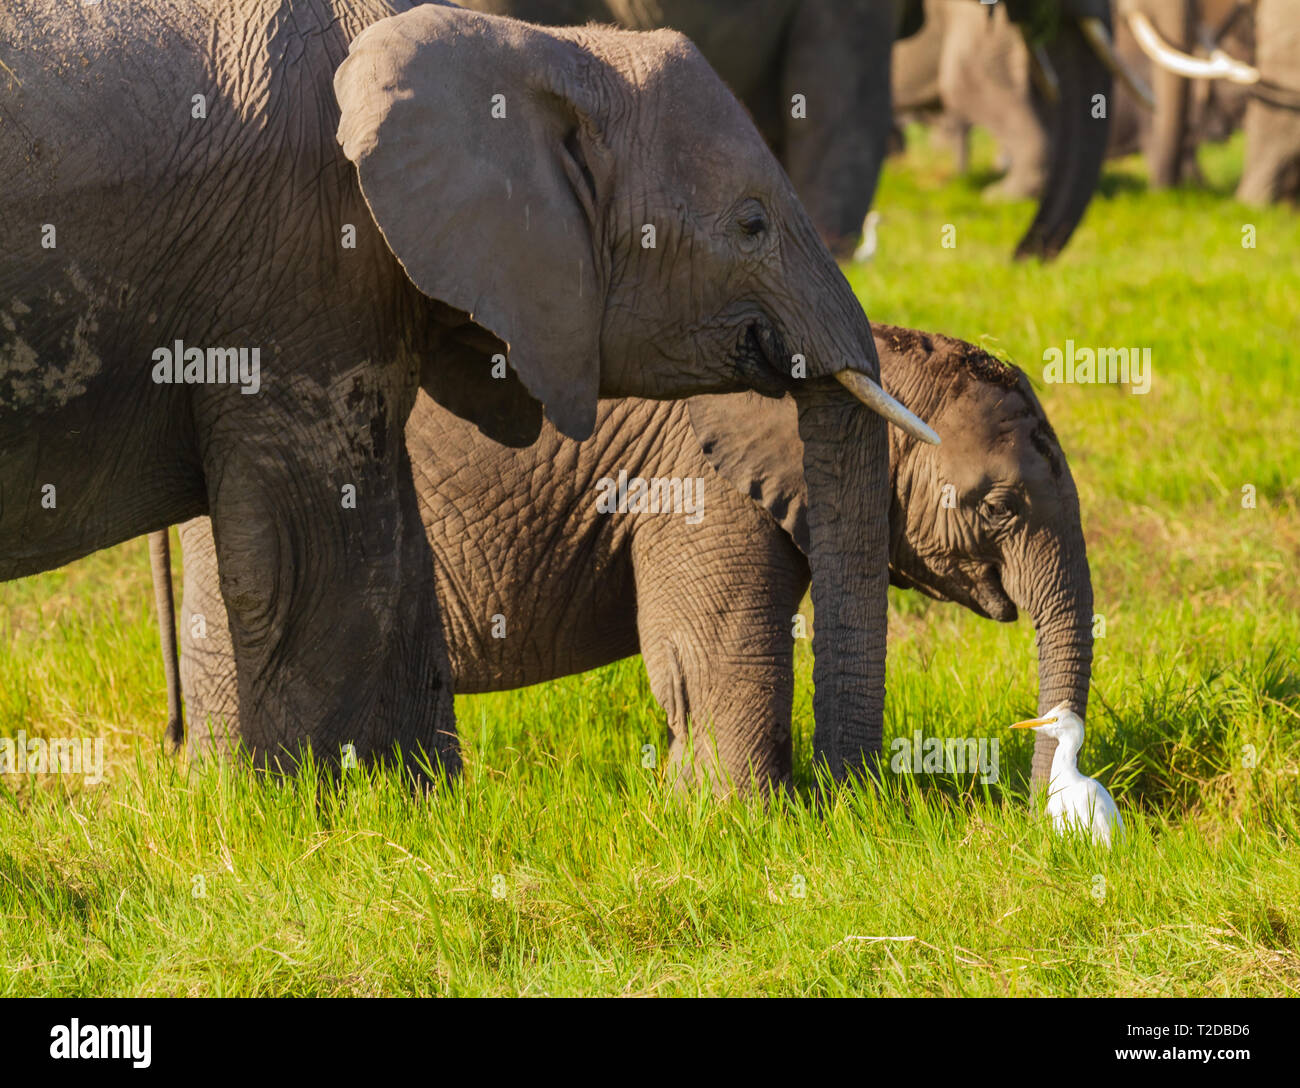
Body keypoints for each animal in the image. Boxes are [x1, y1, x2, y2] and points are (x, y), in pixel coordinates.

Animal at [1, 1, 935, 780]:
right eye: (751, 225)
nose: (846, 795)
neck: (524, 45)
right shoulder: (295, 265)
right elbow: (319, 558)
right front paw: (300, 818)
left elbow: (396, 554)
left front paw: (419, 807)